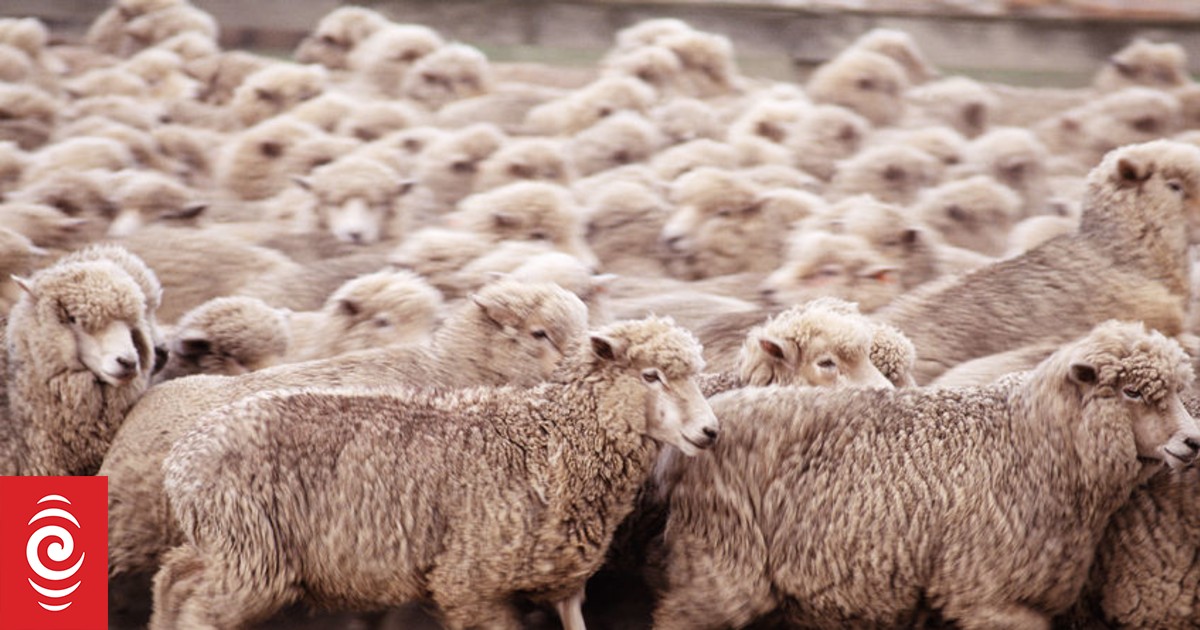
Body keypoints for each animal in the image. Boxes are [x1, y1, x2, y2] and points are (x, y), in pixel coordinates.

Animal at [149, 315, 715, 630]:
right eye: (651, 376)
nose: (710, 431)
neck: (550, 440)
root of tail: (182, 455)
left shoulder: (561, 583)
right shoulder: (468, 583)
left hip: (225, 545)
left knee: (173, 578)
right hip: (251, 557)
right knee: (199, 609)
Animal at [653, 319, 1200, 630]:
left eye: (1177, 391)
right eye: (1131, 392)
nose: (1192, 442)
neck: (1030, 443)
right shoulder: (984, 594)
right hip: (724, 566)